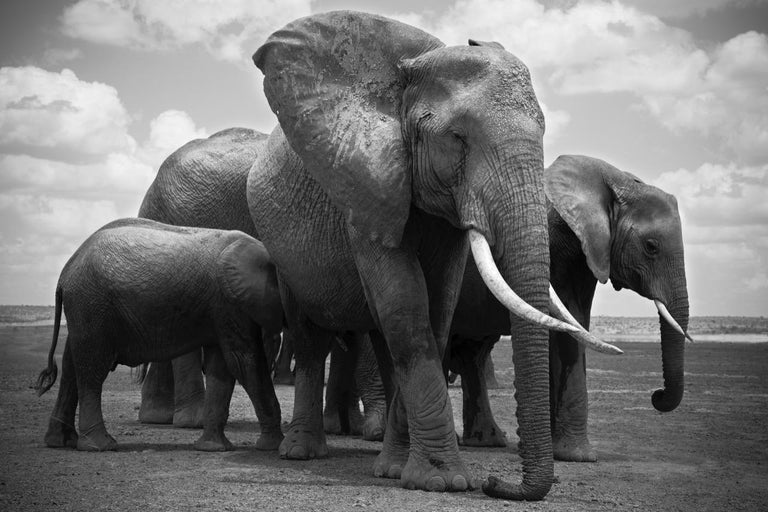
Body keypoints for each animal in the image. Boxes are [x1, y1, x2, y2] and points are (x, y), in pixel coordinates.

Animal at [35, 218, 284, 453]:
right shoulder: (230, 303)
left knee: (71, 365)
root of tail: (65, 273)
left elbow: (222, 366)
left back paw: (60, 441)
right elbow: (244, 362)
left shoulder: (222, 310)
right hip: (92, 305)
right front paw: (272, 446)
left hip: (85, 309)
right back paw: (101, 446)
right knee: (92, 367)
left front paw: (214, 448)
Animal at [245, 11, 616, 499]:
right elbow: (407, 307)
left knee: (382, 339)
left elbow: (437, 309)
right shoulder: (364, 186)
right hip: (280, 245)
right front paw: (442, 481)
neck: (410, 70)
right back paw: (302, 453)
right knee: (310, 336)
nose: (497, 482)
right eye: (456, 138)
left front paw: (415, 475)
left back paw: (386, 465)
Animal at [448, 155, 691, 461]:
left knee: (473, 354)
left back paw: (488, 441)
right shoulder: (560, 245)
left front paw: (562, 451)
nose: (656, 395)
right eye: (651, 247)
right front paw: (577, 456)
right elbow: (568, 332)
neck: (614, 179)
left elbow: (576, 325)